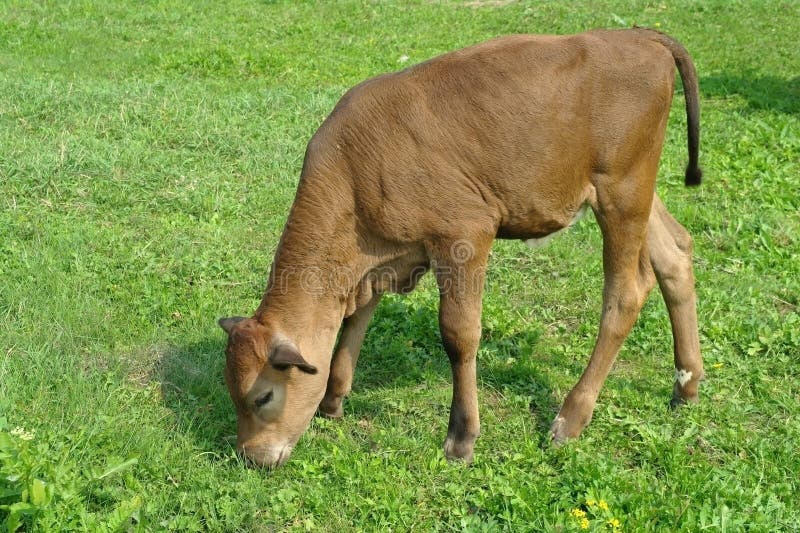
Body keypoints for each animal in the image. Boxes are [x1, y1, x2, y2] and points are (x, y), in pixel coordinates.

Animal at [218, 27, 704, 467]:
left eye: (262, 396)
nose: (250, 456)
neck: (355, 172)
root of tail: (640, 37)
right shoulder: (380, 261)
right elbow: (356, 320)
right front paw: (333, 400)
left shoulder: (465, 234)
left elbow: (459, 334)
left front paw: (461, 437)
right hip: (634, 191)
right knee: (675, 253)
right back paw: (686, 385)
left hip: (621, 191)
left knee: (625, 294)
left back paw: (571, 417)